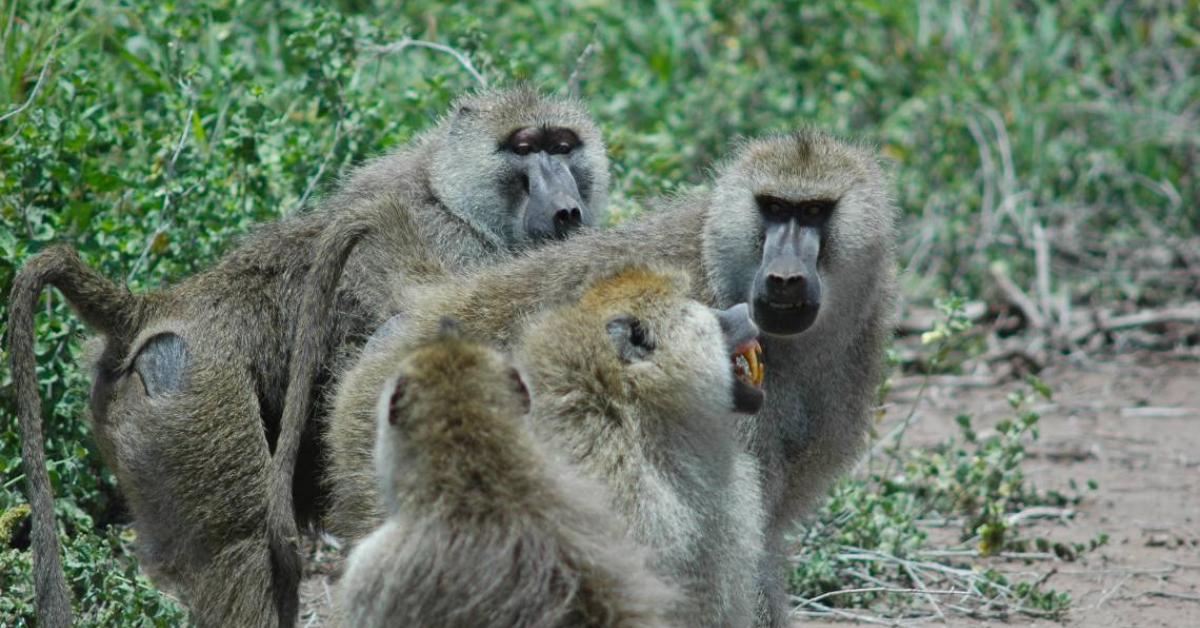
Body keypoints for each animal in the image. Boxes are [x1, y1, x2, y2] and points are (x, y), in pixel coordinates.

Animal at [8, 85, 610, 627]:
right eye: (524, 147)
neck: (449, 196)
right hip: (196, 394)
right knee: (245, 550)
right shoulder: (461, 259)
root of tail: (151, 309)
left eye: (563, 147)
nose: (566, 211)